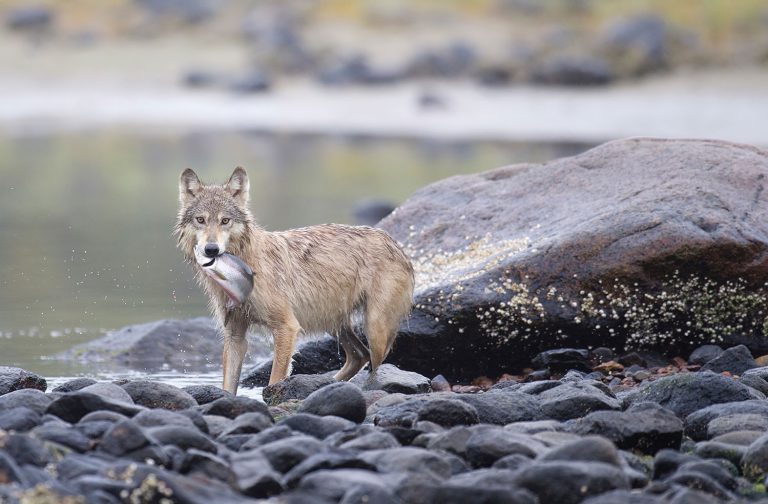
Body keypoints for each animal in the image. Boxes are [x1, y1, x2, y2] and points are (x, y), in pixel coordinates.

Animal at [175, 167, 414, 394]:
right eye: (200, 220)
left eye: (225, 221)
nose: (211, 249)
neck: (247, 261)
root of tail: (396, 244)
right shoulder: (235, 335)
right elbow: (228, 386)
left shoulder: (286, 327)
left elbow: (275, 378)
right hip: (332, 322)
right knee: (359, 355)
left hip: (374, 328)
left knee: (374, 363)